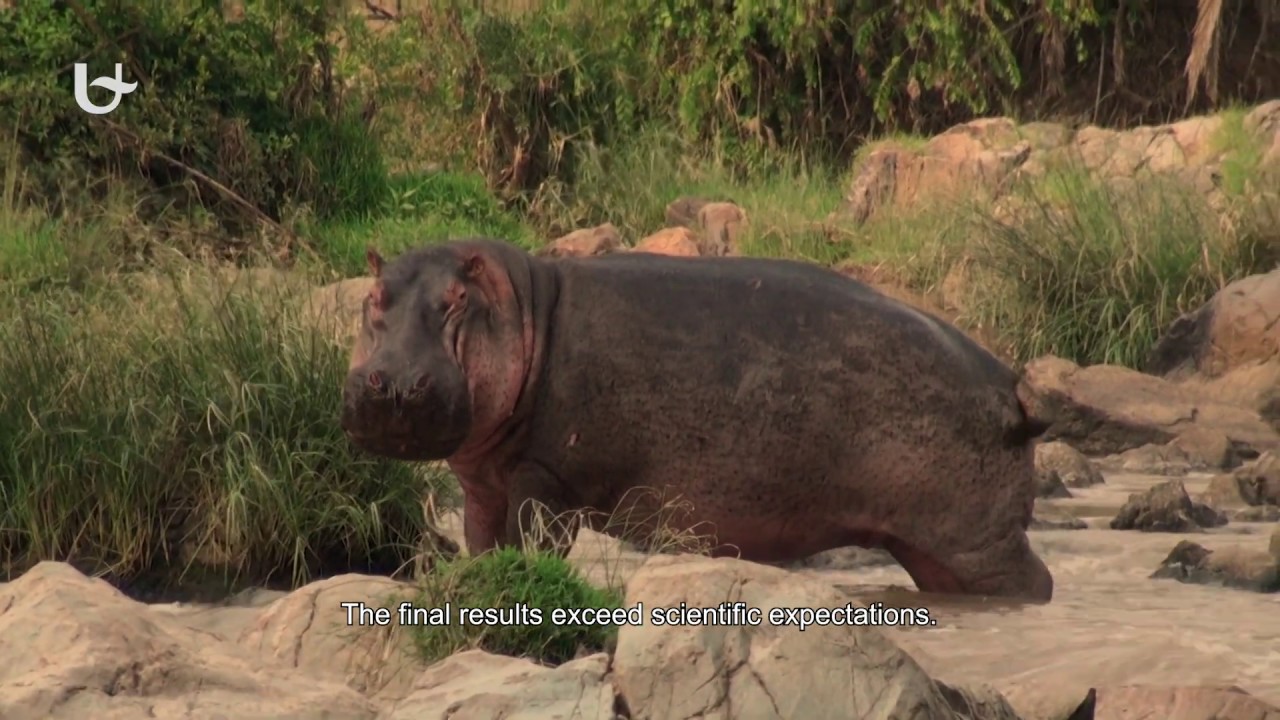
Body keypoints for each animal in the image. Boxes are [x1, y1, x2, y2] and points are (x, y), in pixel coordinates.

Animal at [341, 238, 1055, 601]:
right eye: (373, 296)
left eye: (455, 300)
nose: (394, 384)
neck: (526, 311)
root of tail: (1012, 390)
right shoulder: (484, 485)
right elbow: (484, 549)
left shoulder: (546, 481)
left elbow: (535, 550)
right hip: (933, 545)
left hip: (975, 540)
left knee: (1034, 582)